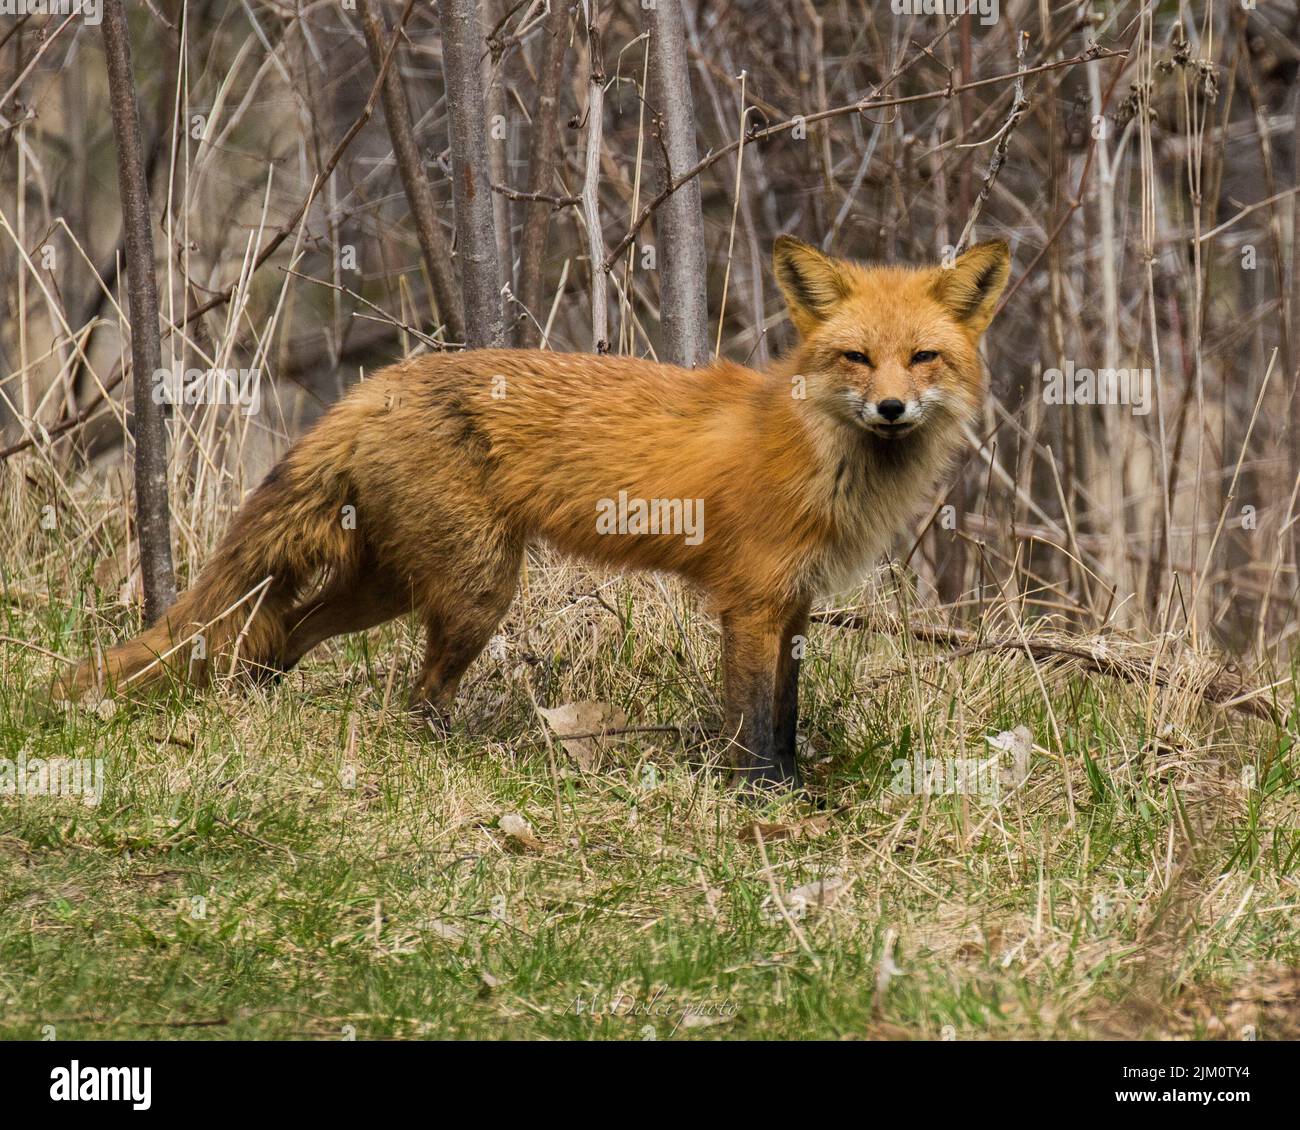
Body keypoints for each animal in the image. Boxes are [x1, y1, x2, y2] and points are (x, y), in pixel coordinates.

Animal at [58, 236, 1010, 790]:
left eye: (923, 358)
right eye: (857, 358)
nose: (891, 408)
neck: (823, 453)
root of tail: (380, 384)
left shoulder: (797, 604)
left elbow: (785, 714)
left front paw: (788, 784)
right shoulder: (750, 602)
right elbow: (750, 723)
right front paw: (759, 799)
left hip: (393, 586)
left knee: (279, 634)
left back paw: (257, 709)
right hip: (477, 591)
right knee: (410, 692)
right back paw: (448, 756)